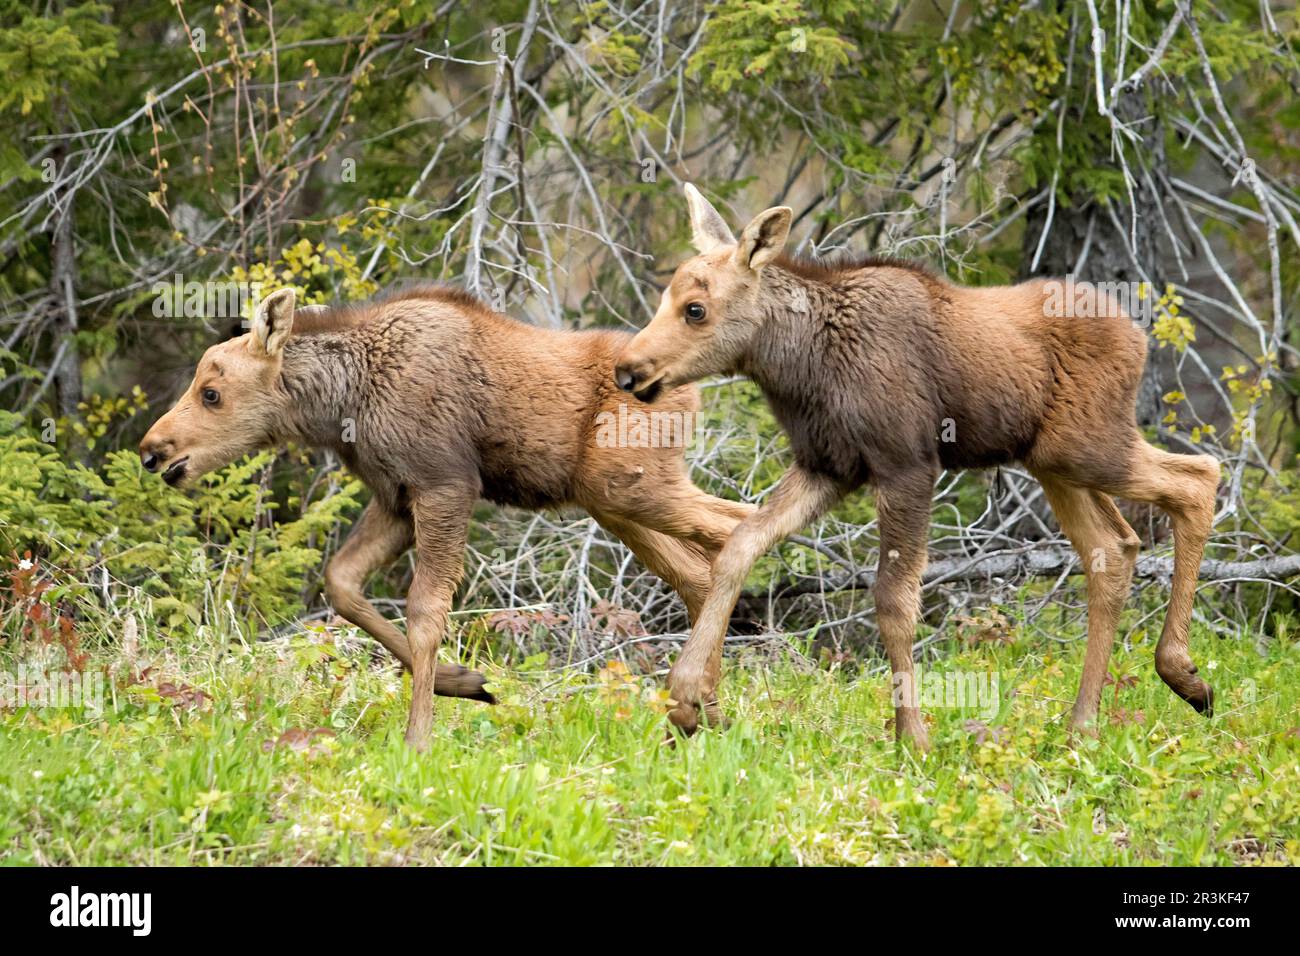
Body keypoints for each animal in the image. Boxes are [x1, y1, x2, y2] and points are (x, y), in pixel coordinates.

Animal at [139, 284, 753, 748]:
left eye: (212, 393)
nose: (152, 452)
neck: (342, 404)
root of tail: (693, 394)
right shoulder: (395, 498)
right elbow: (341, 582)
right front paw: (463, 681)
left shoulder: (445, 484)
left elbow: (426, 612)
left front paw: (419, 737)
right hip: (614, 502)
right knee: (697, 571)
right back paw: (704, 713)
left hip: (633, 488)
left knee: (739, 529)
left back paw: (698, 708)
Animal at [613, 183, 1221, 750]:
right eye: (666, 297)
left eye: (695, 309)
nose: (627, 370)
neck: (798, 368)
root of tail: (1138, 335)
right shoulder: (826, 468)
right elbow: (738, 547)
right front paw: (686, 698)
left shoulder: (907, 464)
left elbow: (893, 598)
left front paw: (914, 736)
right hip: (1054, 461)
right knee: (1114, 547)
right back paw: (1084, 723)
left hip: (1087, 445)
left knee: (1199, 477)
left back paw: (1182, 675)